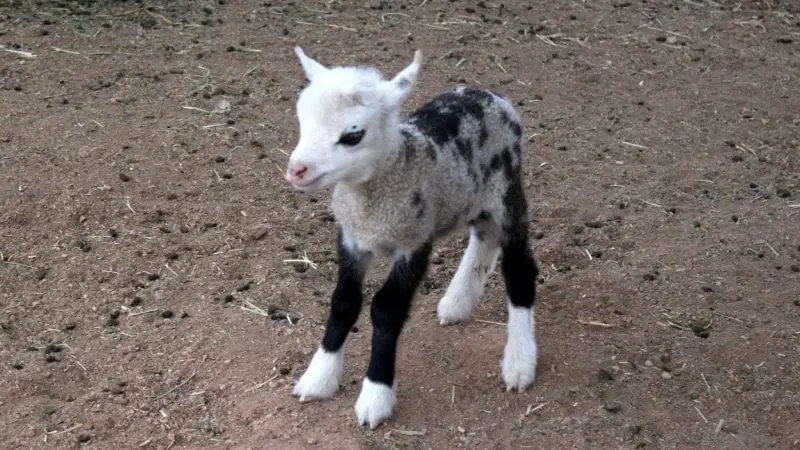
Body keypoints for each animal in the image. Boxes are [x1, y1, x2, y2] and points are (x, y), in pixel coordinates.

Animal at [284, 47, 540, 429]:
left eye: (353, 134)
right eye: (302, 119)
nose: (296, 170)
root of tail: (490, 95)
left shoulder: (413, 241)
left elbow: (386, 310)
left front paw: (375, 395)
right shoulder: (352, 239)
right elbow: (343, 301)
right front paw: (319, 377)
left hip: (507, 189)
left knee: (520, 269)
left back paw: (520, 361)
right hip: (471, 196)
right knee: (483, 237)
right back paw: (457, 302)